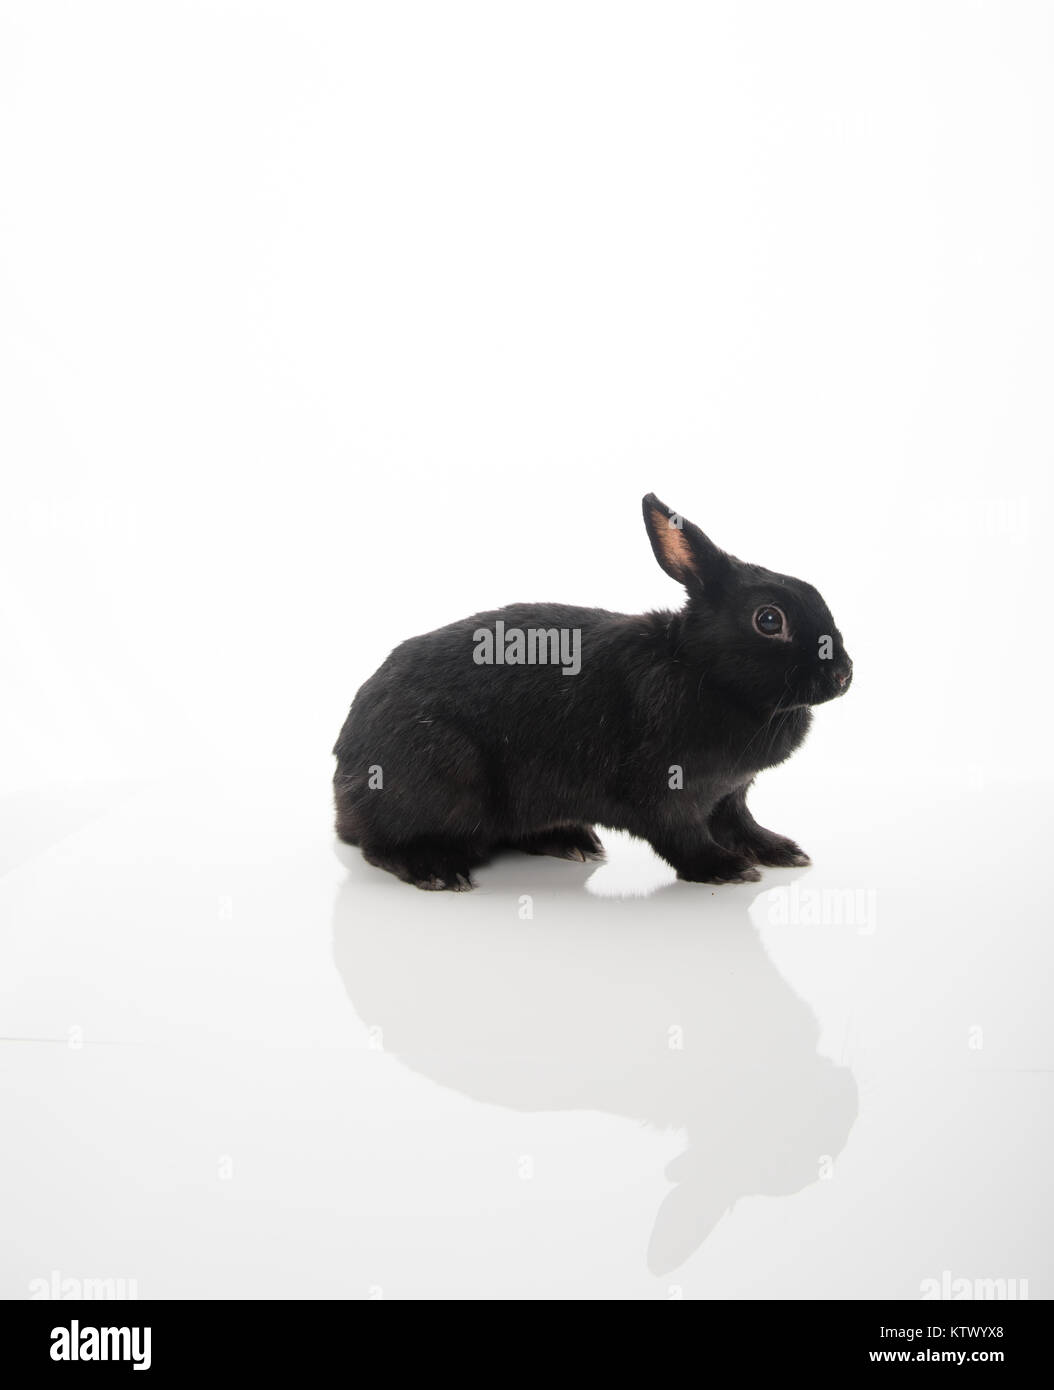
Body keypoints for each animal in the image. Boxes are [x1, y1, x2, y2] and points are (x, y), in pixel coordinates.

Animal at [332, 493, 852, 890]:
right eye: (769, 619)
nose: (844, 675)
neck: (698, 669)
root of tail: (346, 772)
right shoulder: (663, 789)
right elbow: (681, 835)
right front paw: (724, 868)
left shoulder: (731, 792)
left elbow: (740, 822)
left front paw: (781, 851)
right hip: (441, 776)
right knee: (381, 845)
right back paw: (437, 871)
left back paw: (570, 841)